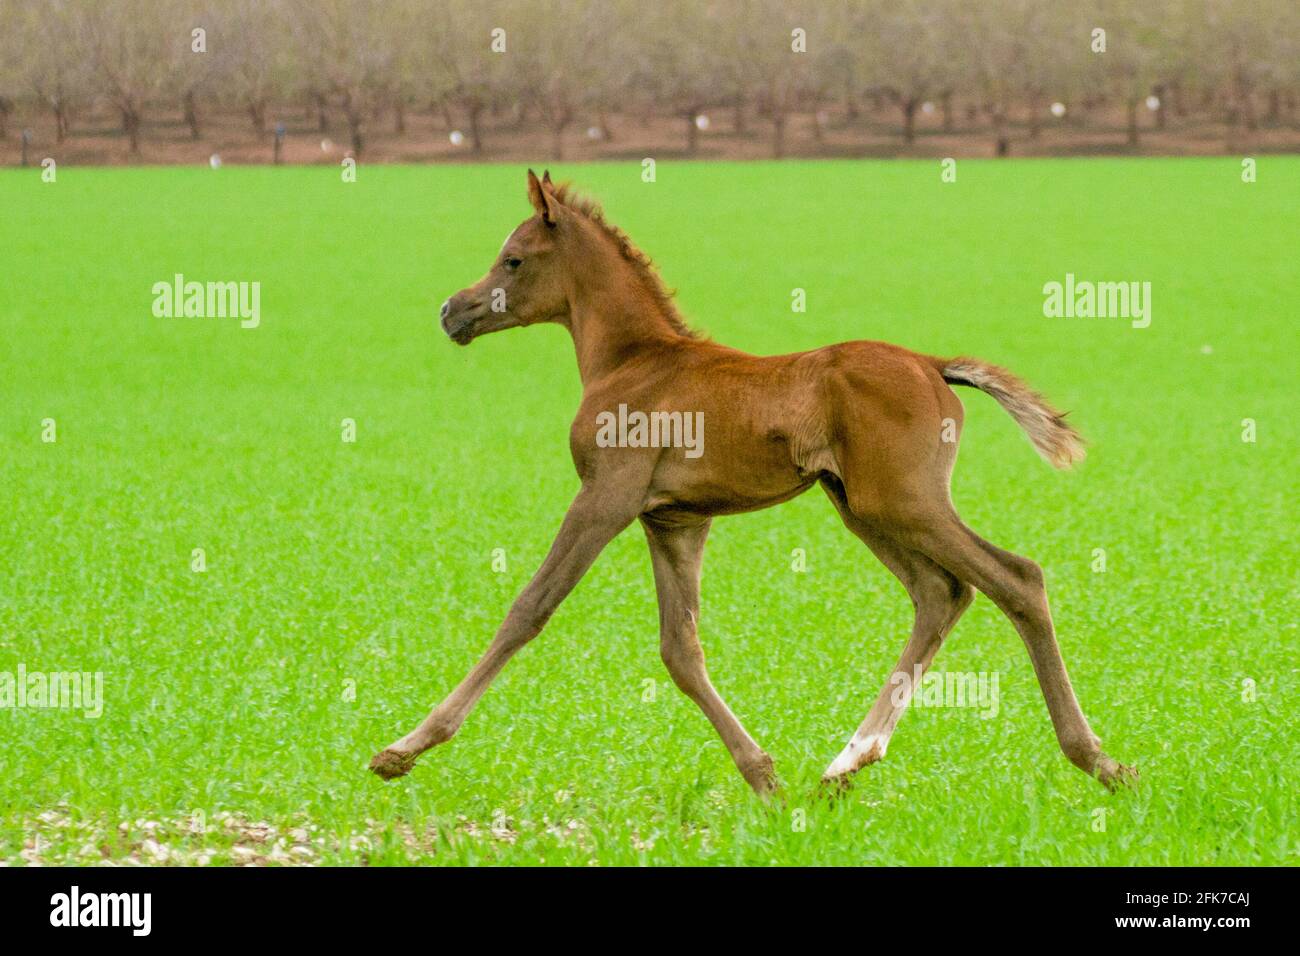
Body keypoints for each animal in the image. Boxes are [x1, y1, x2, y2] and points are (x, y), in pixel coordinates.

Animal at [370, 169, 1136, 796]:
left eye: (514, 259)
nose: (453, 312)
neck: (632, 361)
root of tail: (931, 365)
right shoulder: (674, 519)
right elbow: (679, 650)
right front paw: (763, 776)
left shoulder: (605, 498)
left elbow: (530, 607)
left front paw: (403, 749)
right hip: (861, 507)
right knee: (940, 593)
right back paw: (847, 762)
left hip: (905, 502)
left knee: (1016, 579)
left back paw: (1097, 761)